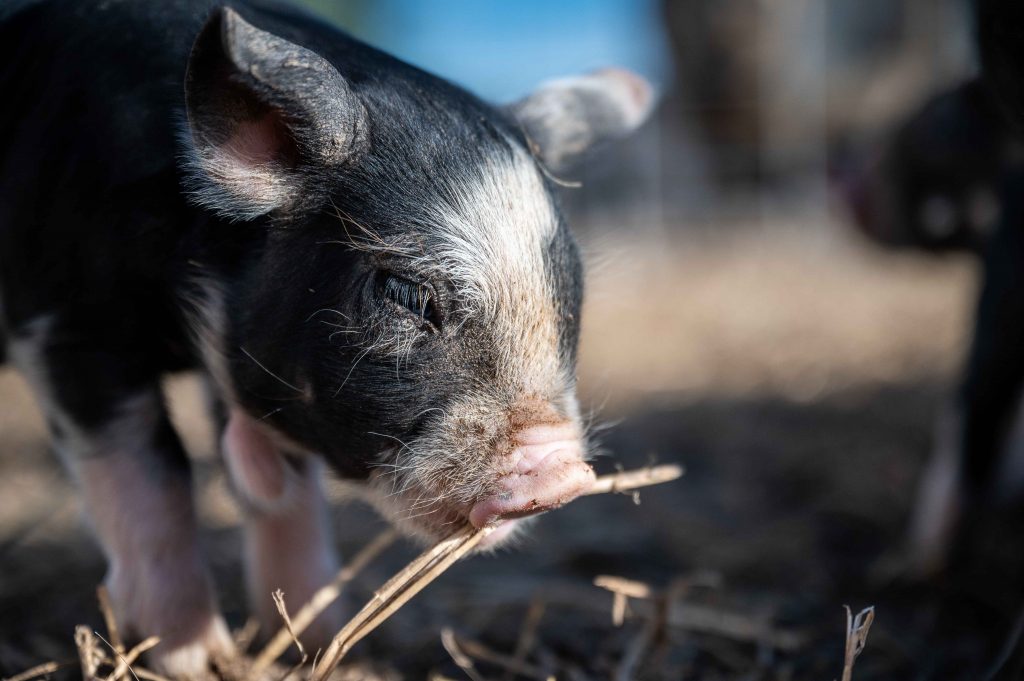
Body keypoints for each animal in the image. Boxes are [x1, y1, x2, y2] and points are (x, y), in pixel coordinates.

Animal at [0, 0, 653, 676]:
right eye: (405, 293)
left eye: (569, 292)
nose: (562, 477)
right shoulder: (59, 321)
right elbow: (151, 477)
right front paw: (197, 662)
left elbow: (286, 494)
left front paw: (316, 643)